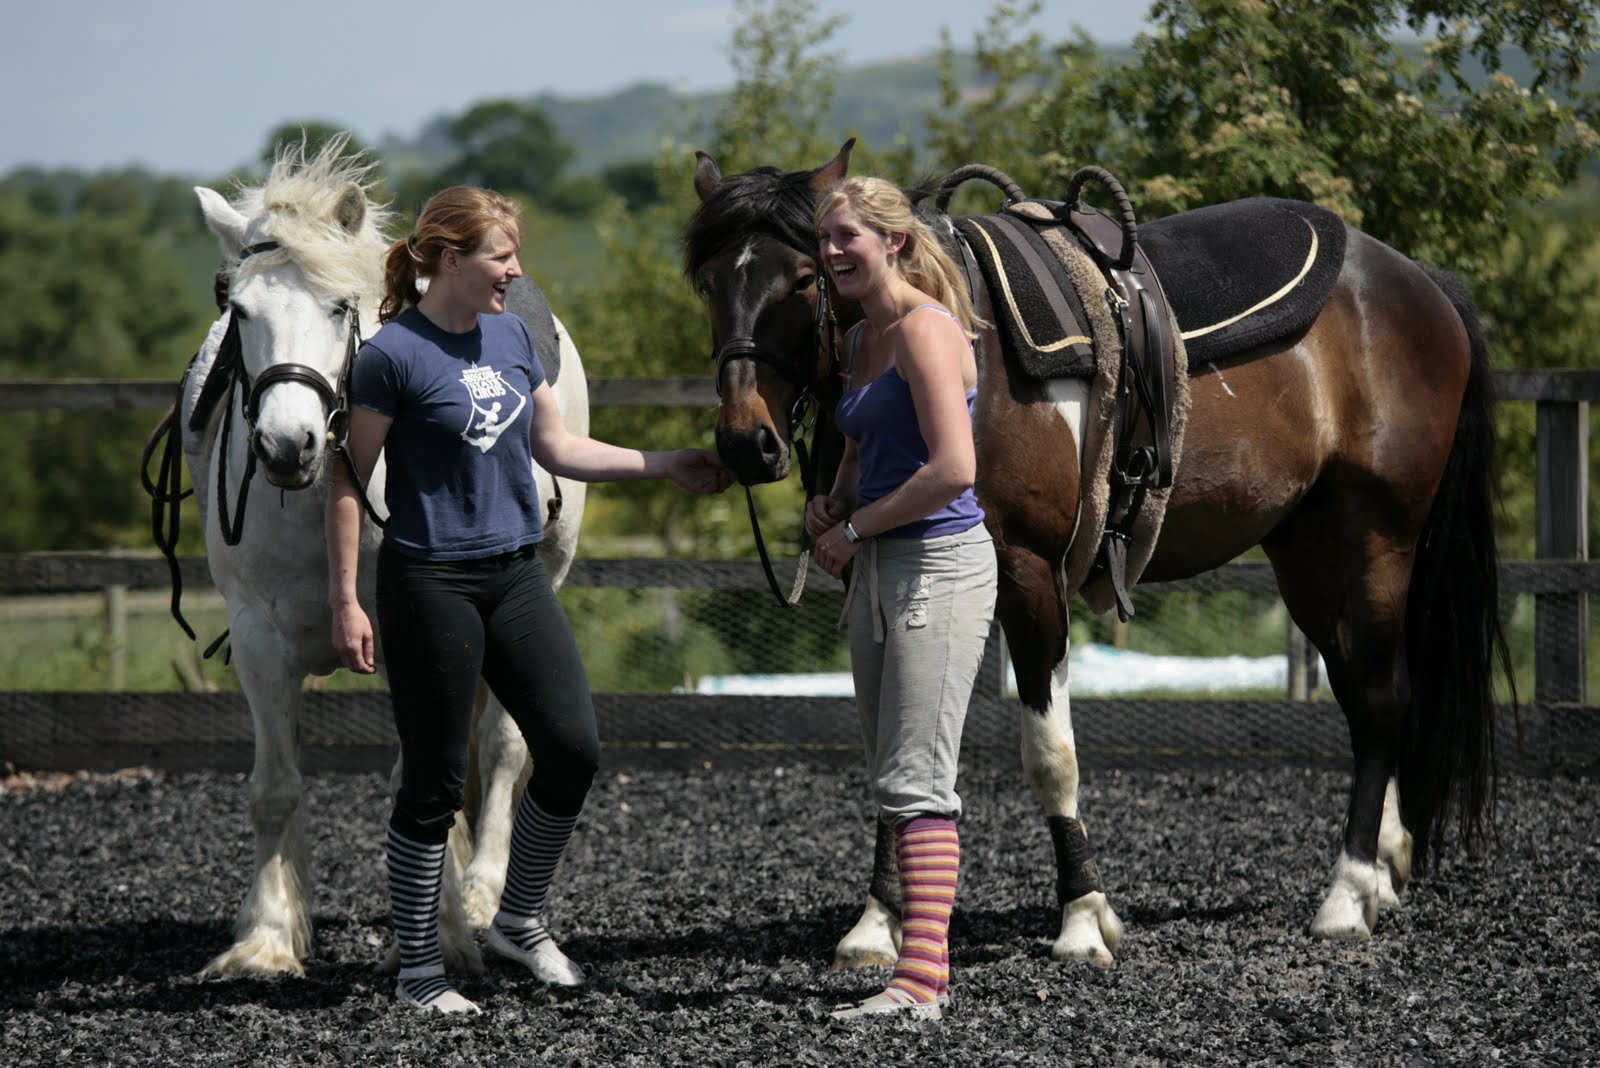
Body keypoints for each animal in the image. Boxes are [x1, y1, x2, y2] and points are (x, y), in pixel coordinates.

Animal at [174, 141, 589, 977]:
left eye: (341, 308)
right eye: (240, 312)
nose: (287, 445)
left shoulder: (414, 644)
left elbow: (420, 776)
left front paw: (443, 933)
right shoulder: (259, 638)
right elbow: (275, 787)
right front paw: (267, 938)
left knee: (504, 752)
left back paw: (484, 895)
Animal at [683, 140, 1512, 968]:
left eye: (803, 277)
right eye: (709, 282)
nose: (746, 443)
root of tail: (1420, 283)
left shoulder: (1027, 576)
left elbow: (1050, 753)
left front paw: (1083, 916)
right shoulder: (874, 577)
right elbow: (895, 747)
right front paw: (877, 922)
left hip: (1375, 542)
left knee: (1379, 702)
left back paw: (1345, 895)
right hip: (1309, 554)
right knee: (1369, 693)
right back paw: (1382, 871)